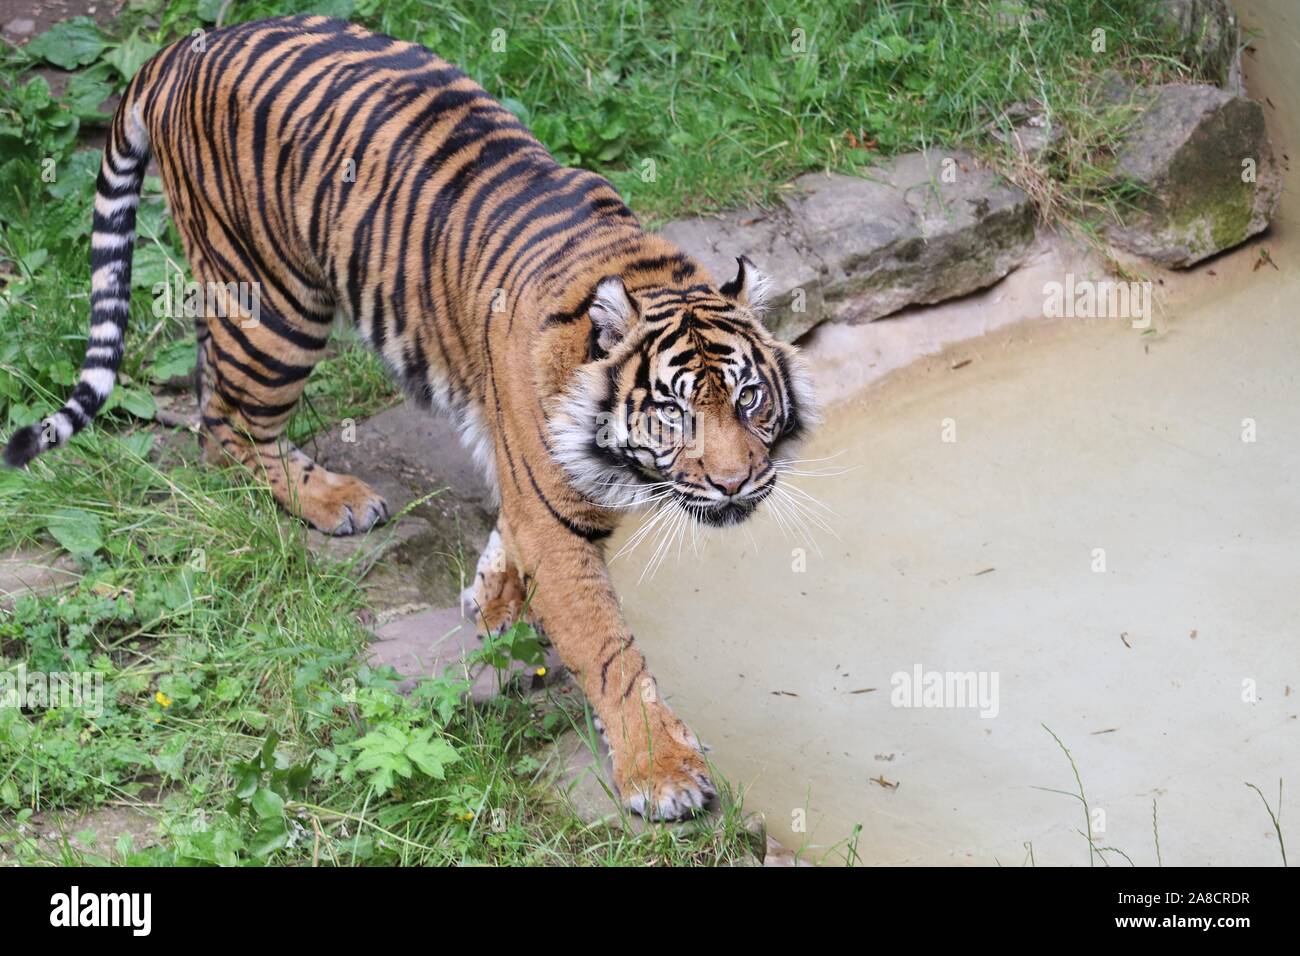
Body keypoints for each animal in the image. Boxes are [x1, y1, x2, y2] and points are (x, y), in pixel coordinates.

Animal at [3, 15, 816, 819]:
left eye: (748, 398)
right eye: (673, 413)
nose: (736, 484)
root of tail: (185, 47)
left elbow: (509, 535)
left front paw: (494, 603)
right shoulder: (557, 512)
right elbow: (608, 646)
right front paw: (662, 770)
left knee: (210, 400)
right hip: (273, 304)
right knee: (225, 427)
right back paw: (333, 499)